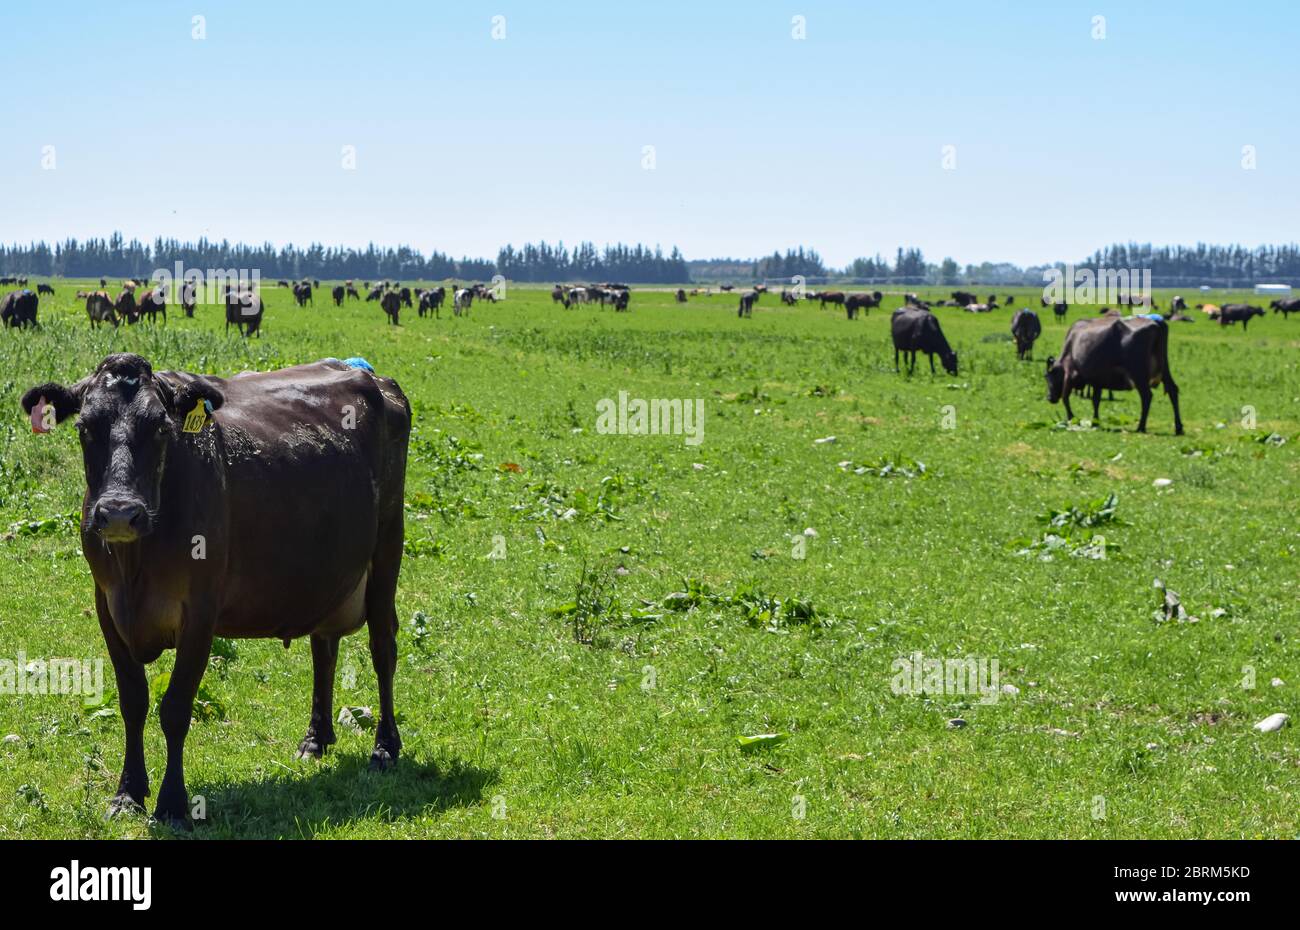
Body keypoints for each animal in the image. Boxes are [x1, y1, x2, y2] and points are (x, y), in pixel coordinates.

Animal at [18, 353, 410, 827]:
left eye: (161, 428)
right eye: (84, 427)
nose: (119, 513)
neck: (136, 564)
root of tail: (370, 375)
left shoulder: (200, 612)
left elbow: (175, 708)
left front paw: (172, 803)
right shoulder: (107, 606)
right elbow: (133, 701)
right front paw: (128, 794)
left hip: (387, 547)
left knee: (383, 647)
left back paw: (384, 747)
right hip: (326, 575)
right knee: (324, 648)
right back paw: (316, 739)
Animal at [1044, 315, 1182, 434]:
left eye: (1048, 378)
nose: (1049, 397)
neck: (1071, 344)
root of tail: (1156, 323)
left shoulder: (1069, 373)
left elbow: (1065, 398)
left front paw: (1072, 419)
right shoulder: (1097, 380)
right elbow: (1095, 400)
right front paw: (1095, 422)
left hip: (1139, 375)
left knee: (1147, 396)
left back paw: (1141, 426)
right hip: (1164, 370)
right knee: (1172, 390)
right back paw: (1178, 428)